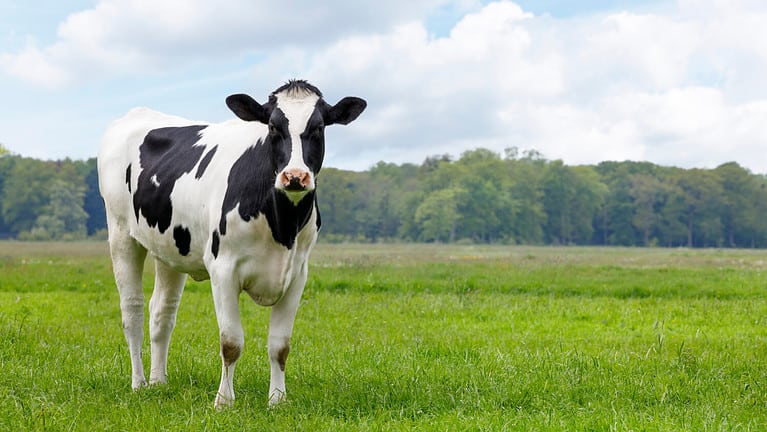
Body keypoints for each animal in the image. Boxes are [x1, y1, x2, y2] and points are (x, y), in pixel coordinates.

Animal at [98, 80, 366, 408]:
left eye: (318, 128)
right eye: (273, 127)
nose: (295, 177)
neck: (282, 225)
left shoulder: (297, 275)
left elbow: (280, 346)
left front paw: (277, 400)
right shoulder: (223, 269)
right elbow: (231, 342)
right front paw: (224, 401)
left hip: (169, 248)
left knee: (162, 311)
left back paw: (159, 382)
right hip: (121, 233)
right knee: (132, 310)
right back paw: (139, 383)